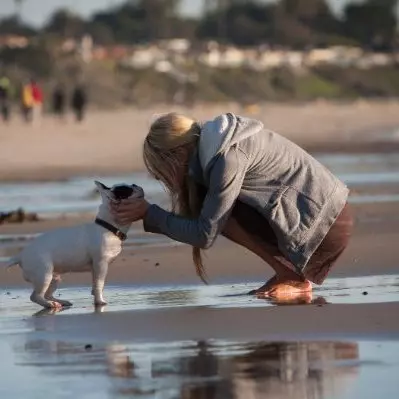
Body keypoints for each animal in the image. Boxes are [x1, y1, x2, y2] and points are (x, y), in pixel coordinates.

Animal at [5, 181, 145, 310]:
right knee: (36, 296)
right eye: (127, 190)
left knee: (47, 294)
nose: (135, 184)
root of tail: (20, 255)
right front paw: (100, 301)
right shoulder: (101, 265)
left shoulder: (95, 269)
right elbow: (100, 284)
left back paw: (61, 302)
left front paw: (95, 297)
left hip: (54, 277)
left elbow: (95, 284)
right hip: (43, 275)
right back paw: (50, 304)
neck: (107, 227)